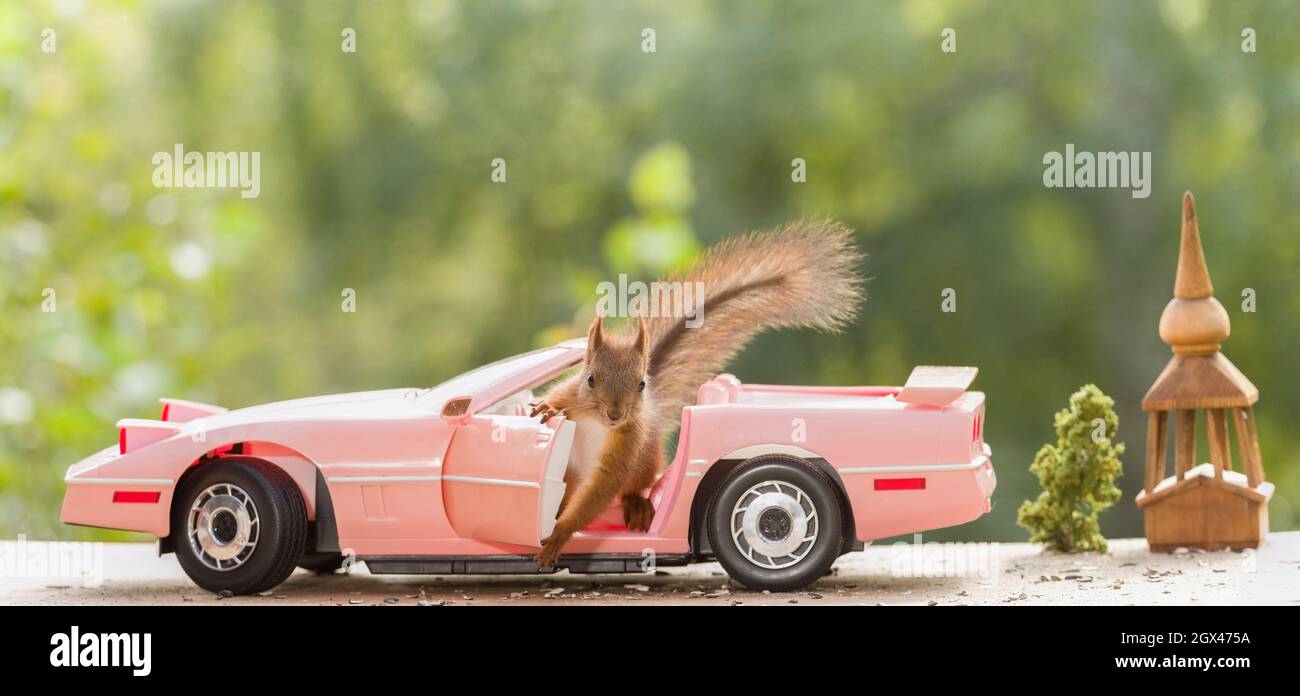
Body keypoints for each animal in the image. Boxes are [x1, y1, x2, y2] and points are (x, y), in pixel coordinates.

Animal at [530, 219, 864, 569]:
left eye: (641, 384)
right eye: (590, 379)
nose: (615, 414)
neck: (597, 421)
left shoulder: (627, 444)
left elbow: (604, 487)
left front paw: (559, 535)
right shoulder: (572, 396)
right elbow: (558, 398)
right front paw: (545, 409)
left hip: (645, 458)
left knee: (632, 487)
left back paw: (637, 504)